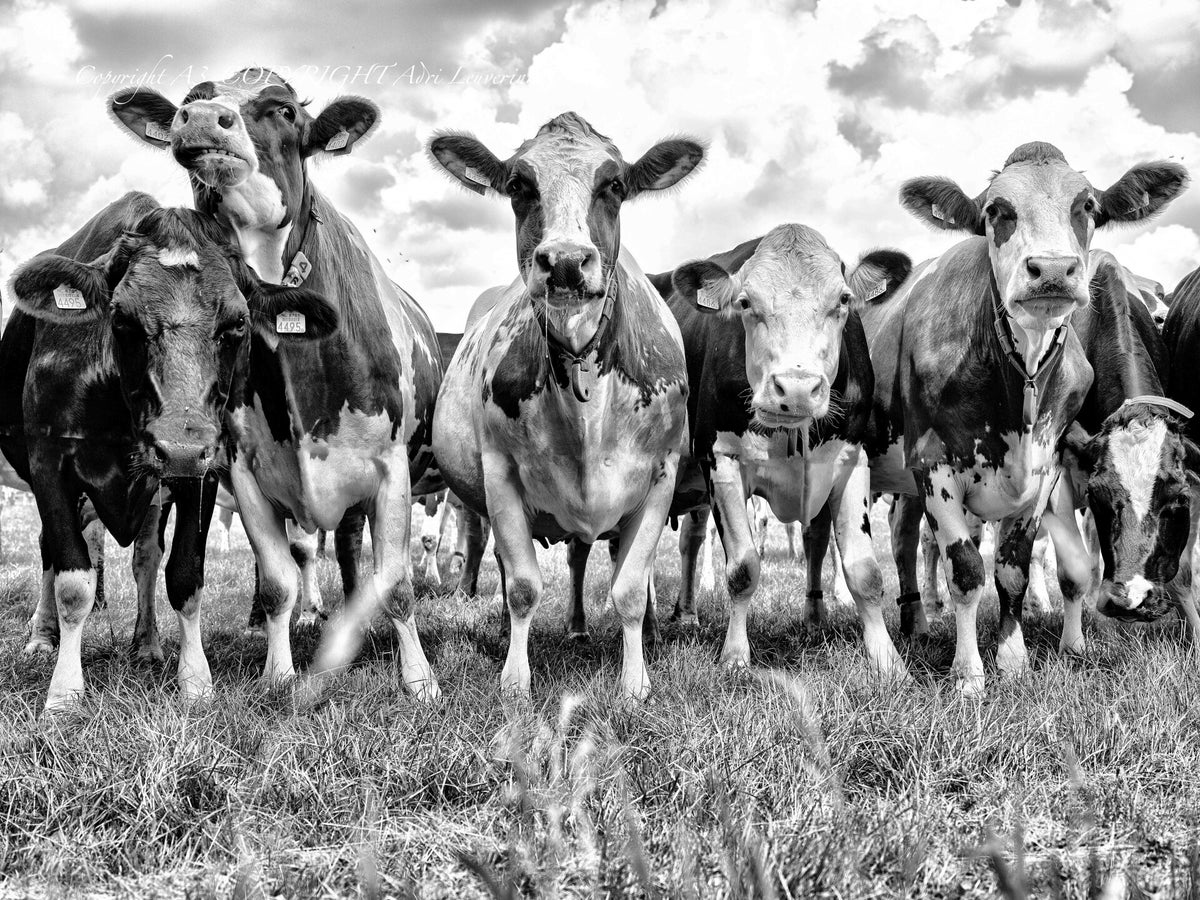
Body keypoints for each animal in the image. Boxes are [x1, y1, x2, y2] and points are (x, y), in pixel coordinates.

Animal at [0, 191, 335, 710]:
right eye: (121, 318)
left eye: (238, 323)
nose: (178, 446)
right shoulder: (48, 463)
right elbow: (73, 580)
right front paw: (64, 690)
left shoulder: (205, 468)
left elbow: (183, 575)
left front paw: (195, 680)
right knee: (49, 553)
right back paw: (42, 636)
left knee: (145, 559)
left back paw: (147, 644)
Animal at [109, 68, 443, 698]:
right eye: (190, 100)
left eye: (285, 110)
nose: (201, 119)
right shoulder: (244, 472)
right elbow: (277, 582)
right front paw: (278, 672)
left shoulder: (392, 468)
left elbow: (395, 582)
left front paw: (419, 682)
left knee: (354, 556)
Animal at [427, 112, 703, 699]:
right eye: (518, 186)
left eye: (614, 185)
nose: (567, 263)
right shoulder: (500, 474)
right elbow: (523, 587)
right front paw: (514, 680)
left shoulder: (661, 474)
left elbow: (629, 589)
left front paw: (634, 682)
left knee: (584, 557)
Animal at [661, 227, 912, 676]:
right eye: (745, 302)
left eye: (843, 300)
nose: (795, 389)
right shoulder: (721, 461)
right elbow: (743, 568)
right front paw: (735, 655)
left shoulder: (852, 461)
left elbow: (864, 571)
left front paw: (887, 660)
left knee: (692, 540)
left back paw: (690, 614)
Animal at [868, 141, 1187, 694]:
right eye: (997, 210)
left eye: (1087, 206)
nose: (1054, 270)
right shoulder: (934, 465)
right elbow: (967, 570)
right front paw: (969, 673)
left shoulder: (1045, 469)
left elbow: (1016, 567)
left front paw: (1015, 657)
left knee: (904, 534)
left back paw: (916, 621)